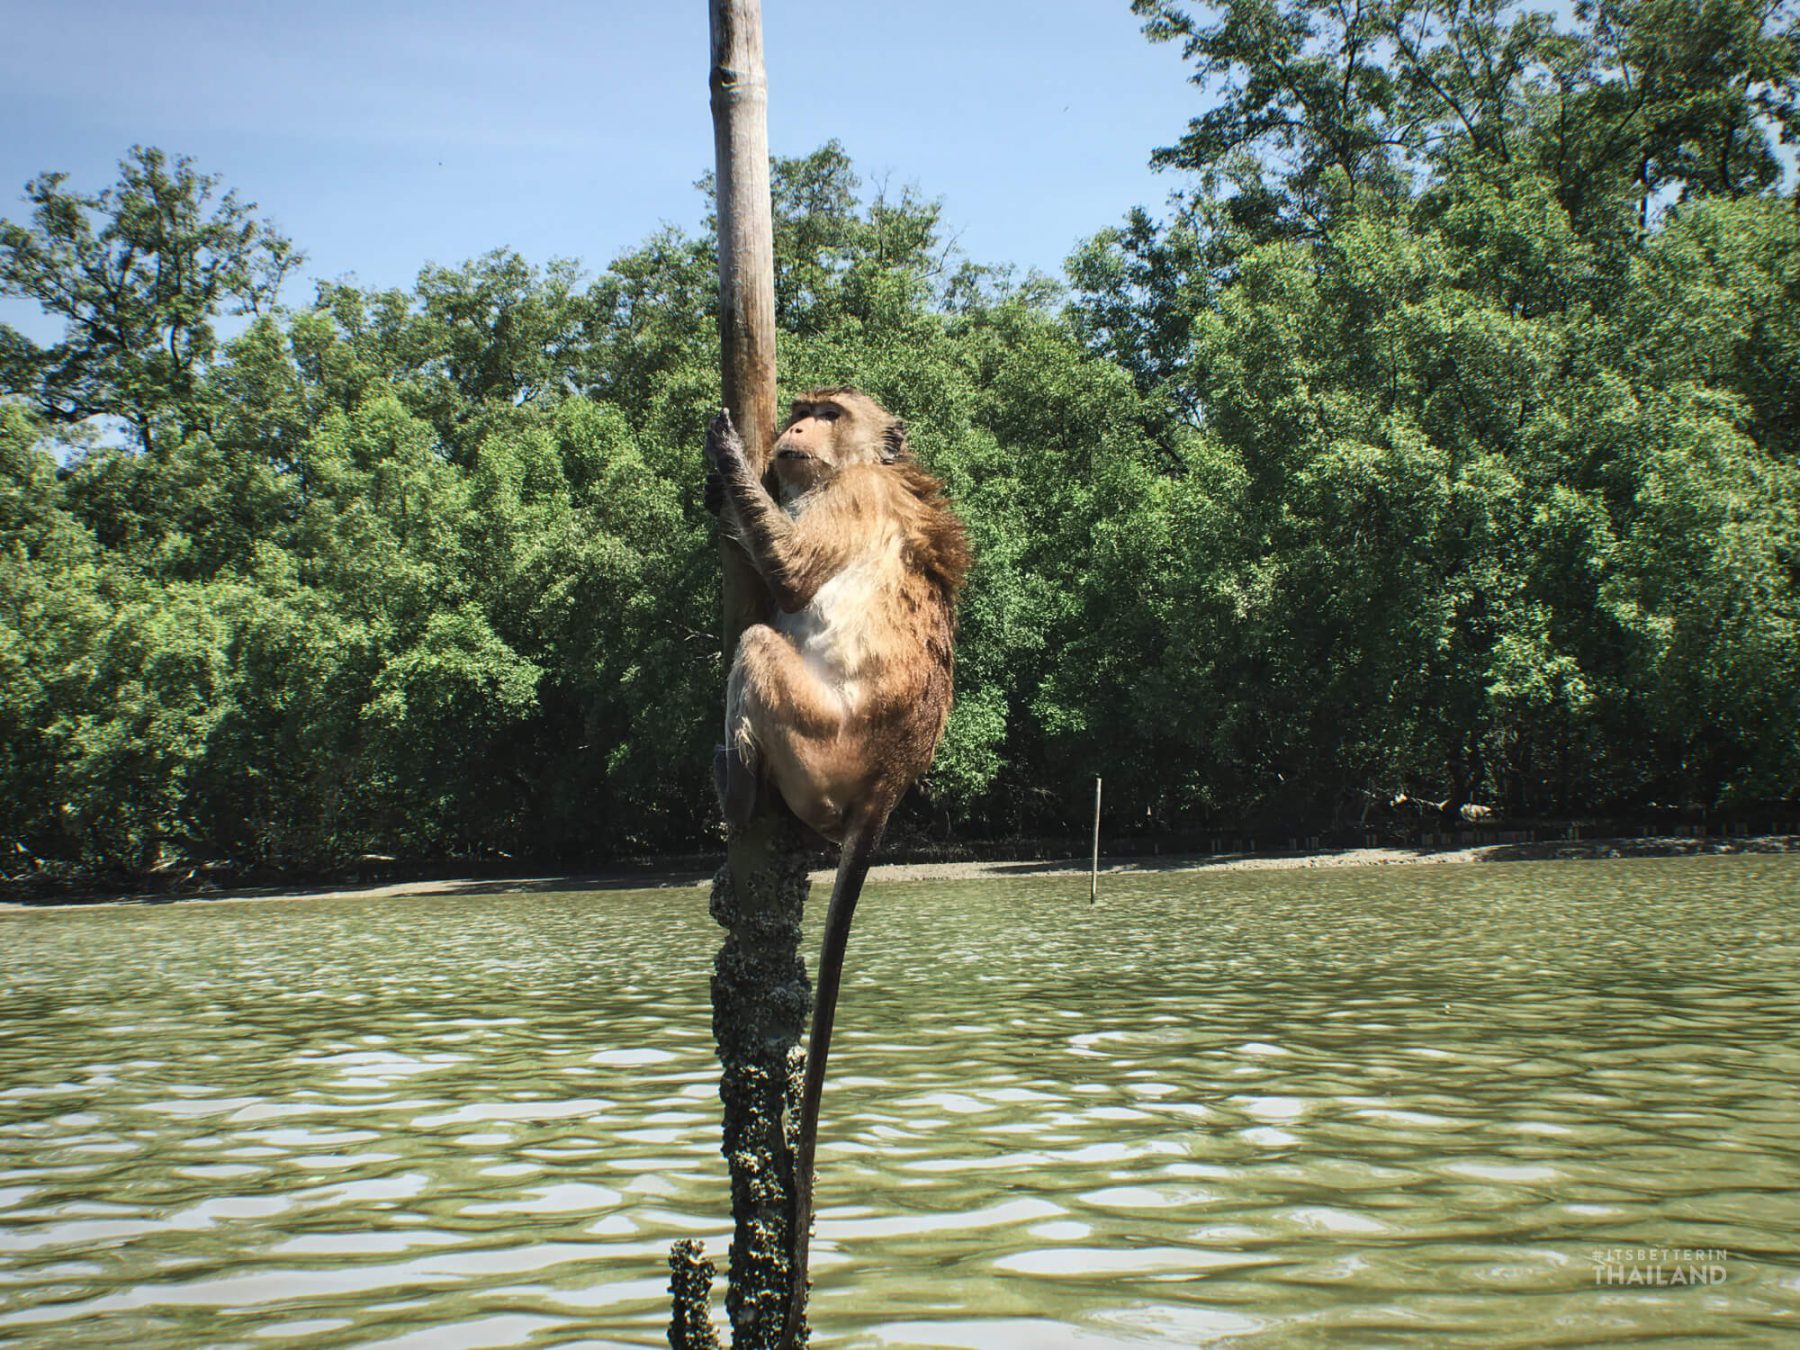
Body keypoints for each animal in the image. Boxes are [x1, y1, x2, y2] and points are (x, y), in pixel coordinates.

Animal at [703, 388, 970, 1345]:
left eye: (827, 412)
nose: (793, 431)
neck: (866, 469)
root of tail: (890, 783)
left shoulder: (846, 501)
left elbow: (788, 573)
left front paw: (724, 462)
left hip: (818, 740)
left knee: (757, 640)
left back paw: (740, 788)